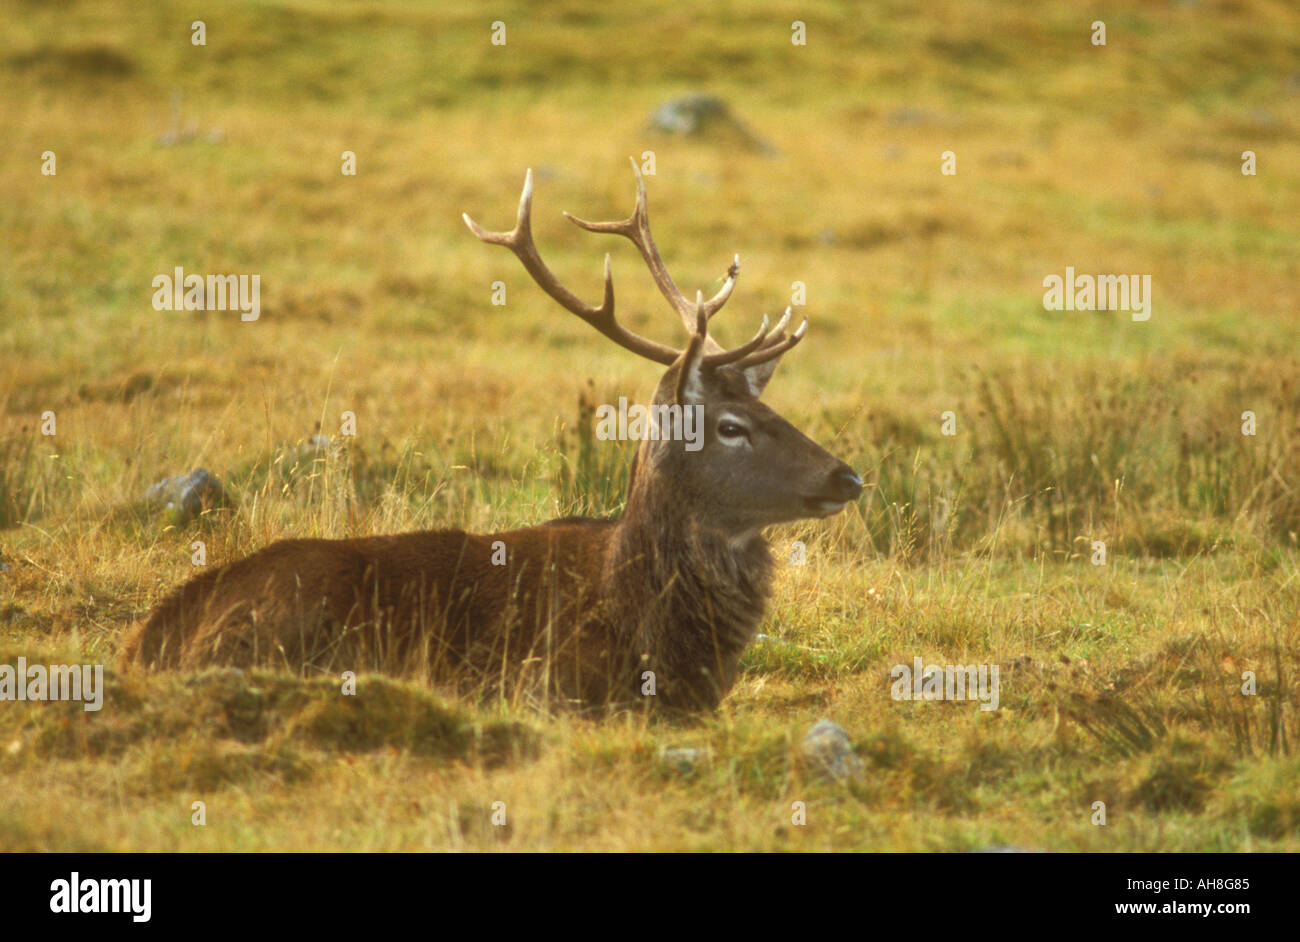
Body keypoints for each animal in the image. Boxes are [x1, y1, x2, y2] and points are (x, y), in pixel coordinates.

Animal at [119, 162, 864, 713]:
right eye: (732, 426)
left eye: (773, 410)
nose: (848, 476)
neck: (649, 624)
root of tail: (144, 641)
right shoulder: (547, 683)